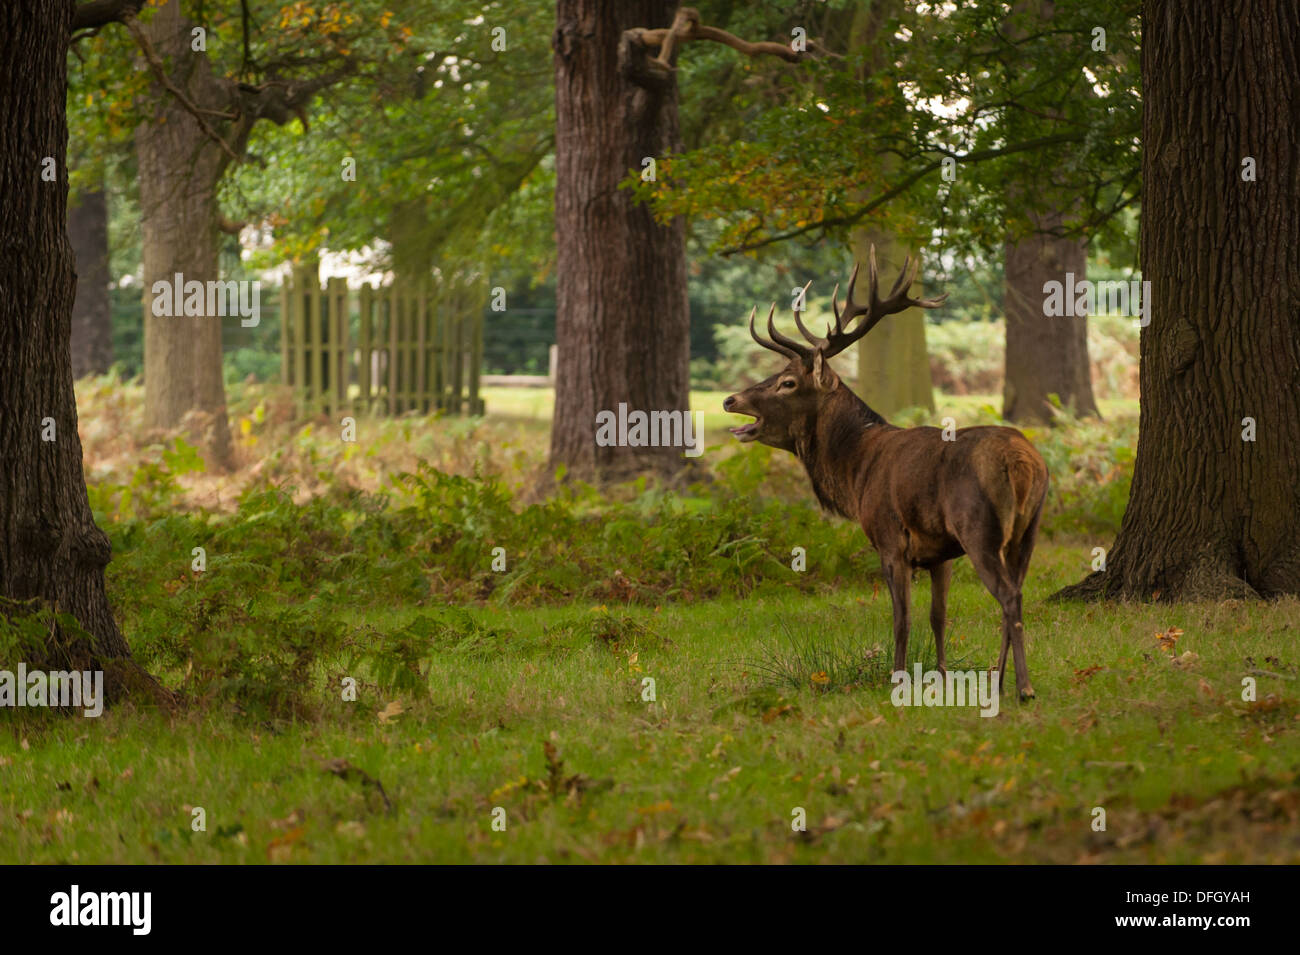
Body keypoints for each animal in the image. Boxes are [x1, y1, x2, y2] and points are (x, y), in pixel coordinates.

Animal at [723, 249, 1049, 701]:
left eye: (787, 382)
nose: (730, 399)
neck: (856, 472)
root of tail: (1023, 462)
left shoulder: (889, 539)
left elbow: (901, 618)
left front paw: (897, 679)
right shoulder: (939, 554)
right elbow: (938, 615)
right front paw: (942, 675)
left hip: (978, 526)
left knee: (1009, 595)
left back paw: (1024, 687)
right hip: (1029, 529)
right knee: (1016, 590)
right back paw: (997, 680)